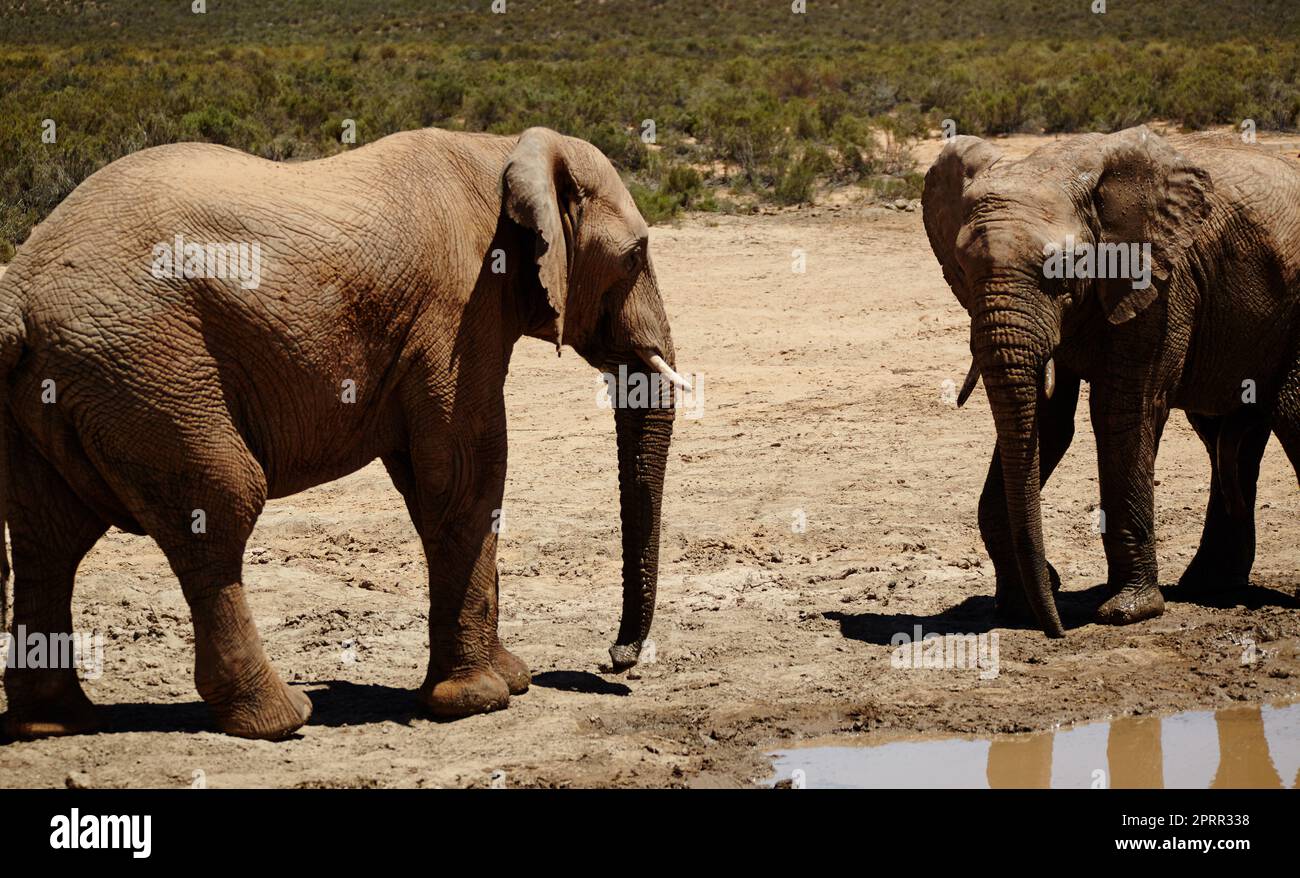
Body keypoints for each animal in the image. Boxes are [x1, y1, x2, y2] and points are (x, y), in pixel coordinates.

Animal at [0, 126, 689, 739]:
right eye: (635, 255)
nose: (614, 660)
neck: (502, 150)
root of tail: (19, 292)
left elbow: (433, 486)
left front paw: (510, 680)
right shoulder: (458, 313)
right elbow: (468, 475)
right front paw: (480, 700)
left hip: (64, 389)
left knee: (47, 541)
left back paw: (56, 723)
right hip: (149, 370)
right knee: (219, 509)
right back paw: (281, 719)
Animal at [923, 126, 1300, 636]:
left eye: (1061, 273)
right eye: (962, 268)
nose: (1056, 629)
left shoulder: (1162, 284)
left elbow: (1122, 413)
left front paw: (1128, 613)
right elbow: (1047, 424)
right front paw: (1020, 605)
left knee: (1290, 420)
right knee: (1224, 437)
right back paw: (1210, 588)